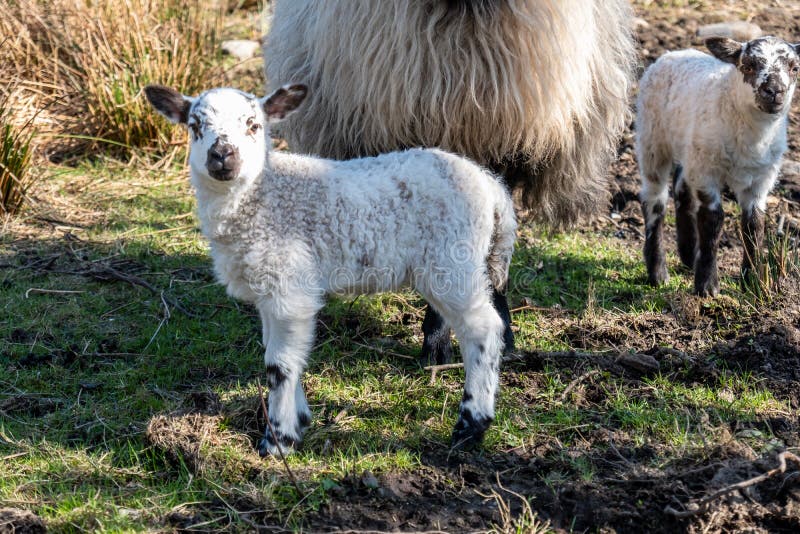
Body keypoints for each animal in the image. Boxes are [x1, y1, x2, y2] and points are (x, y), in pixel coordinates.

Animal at [144, 83, 517, 456]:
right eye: (195, 126)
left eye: (254, 125)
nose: (222, 155)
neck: (263, 195)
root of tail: (491, 188)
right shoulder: (271, 290)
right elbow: (282, 353)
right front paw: (298, 420)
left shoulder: (290, 285)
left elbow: (278, 365)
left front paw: (278, 441)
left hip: (452, 261)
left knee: (483, 330)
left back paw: (471, 426)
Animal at [637, 36, 800, 296]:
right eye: (748, 66)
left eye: (794, 68)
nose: (774, 91)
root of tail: (672, 53)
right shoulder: (707, 173)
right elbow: (712, 220)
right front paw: (707, 285)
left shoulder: (761, 179)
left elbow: (754, 226)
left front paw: (752, 281)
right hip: (653, 141)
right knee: (654, 201)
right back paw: (658, 273)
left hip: (690, 150)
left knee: (682, 190)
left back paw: (688, 254)